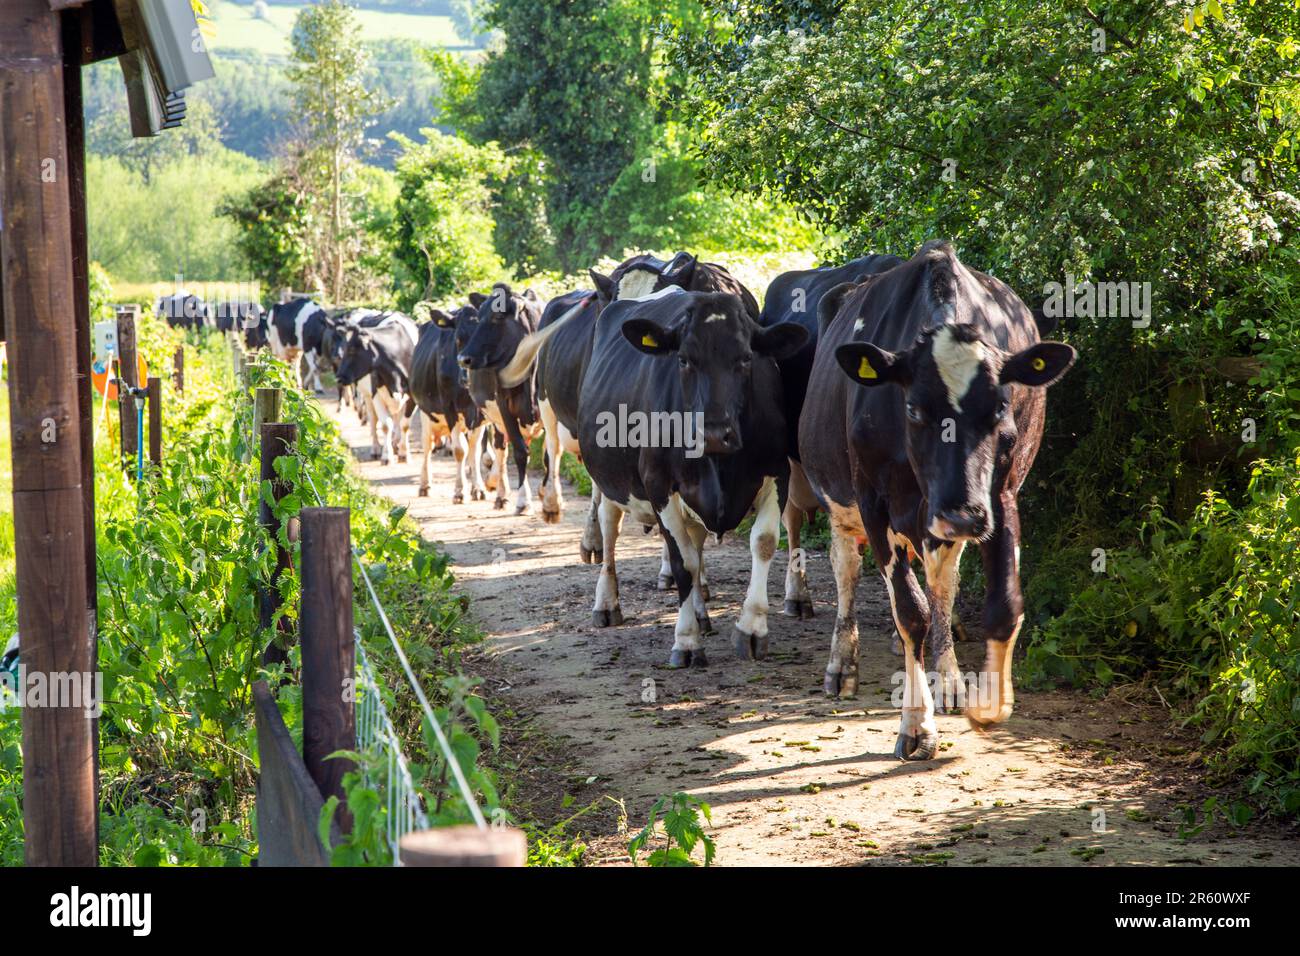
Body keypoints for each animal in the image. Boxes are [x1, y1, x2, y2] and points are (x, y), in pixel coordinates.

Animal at [334, 311, 420, 465]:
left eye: (352, 350)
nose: (339, 378)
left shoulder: (412, 397)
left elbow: (404, 424)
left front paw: (404, 453)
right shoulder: (376, 394)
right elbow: (385, 425)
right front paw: (386, 456)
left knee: (397, 418)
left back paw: (396, 443)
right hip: (367, 395)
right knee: (374, 420)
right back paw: (376, 449)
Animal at [409, 305, 492, 503]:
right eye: (458, 339)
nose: (466, 376)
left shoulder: (479, 413)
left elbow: (474, 450)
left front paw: (478, 488)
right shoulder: (449, 407)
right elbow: (460, 450)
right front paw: (460, 491)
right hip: (426, 412)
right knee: (427, 445)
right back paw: (424, 484)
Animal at [455, 283, 546, 514]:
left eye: (497, 316)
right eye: (479, 316)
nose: (463, 358)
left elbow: (547, 453)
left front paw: (547, 493)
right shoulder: (504, 407)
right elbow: (520, 452)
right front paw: (523, 501)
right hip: (491, 416)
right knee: (499, 448)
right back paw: (498, 489)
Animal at [577, 287, 808, 667]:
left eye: (746, 358)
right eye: (683, 359)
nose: (713, 434)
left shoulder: (778, 473)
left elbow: (762, 543)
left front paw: (752, 629)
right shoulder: (658, 484)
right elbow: (681, 561)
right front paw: (686, 641)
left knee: (697, 543)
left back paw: (701, 613)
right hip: (608, 480)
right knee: (609, 528)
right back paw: (606, 603)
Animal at [799, 240, 1076, 760]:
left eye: (1001, 406)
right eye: (913, 408)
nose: (961, 514)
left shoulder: (1000, 495)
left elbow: (1001, 606)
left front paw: (986, 704)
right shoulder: (873, 501)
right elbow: (910, 610)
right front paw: (916, 725)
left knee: (941, 584)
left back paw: (946, 677)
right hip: (843, 504)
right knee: (847, 569)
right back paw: (842, 664)